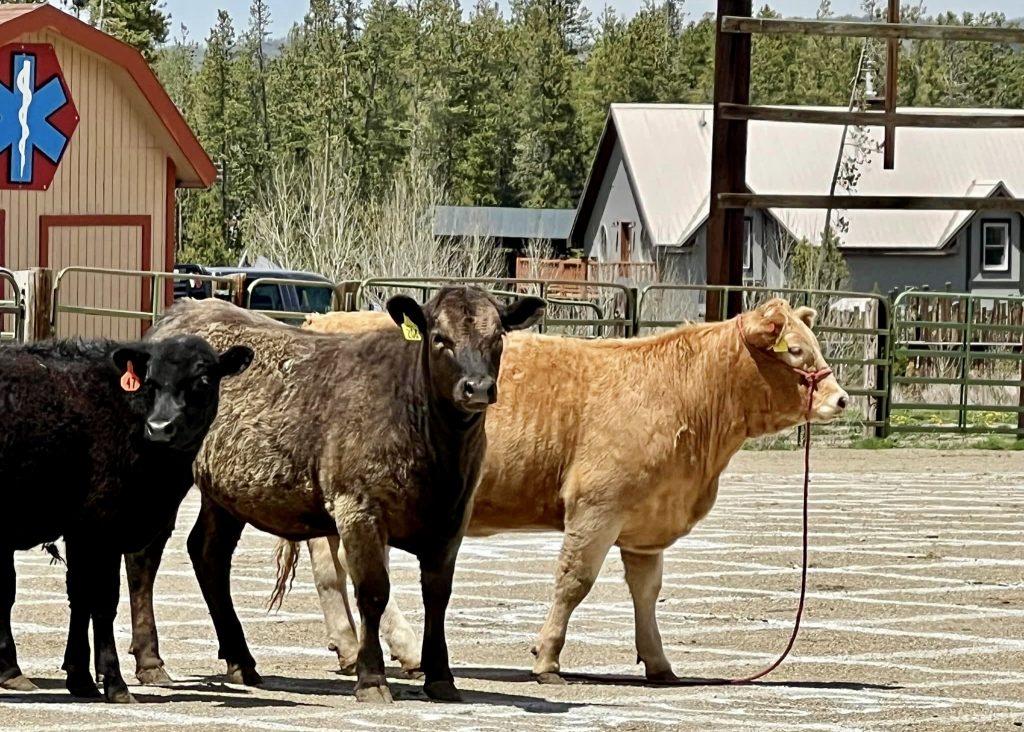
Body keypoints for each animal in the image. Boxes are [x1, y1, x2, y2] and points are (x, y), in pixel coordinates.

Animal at [0, 335, 252, 704]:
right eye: (150, 382)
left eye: (203, 381)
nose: (160, 428)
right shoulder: (103, 525)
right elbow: (103, 603)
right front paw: (114, 682)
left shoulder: (82, 530)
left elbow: (80, 597)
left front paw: (81, 678)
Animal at [124, 287, 545, 704]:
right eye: (440, 337)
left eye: (498, 336)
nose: (478, 387)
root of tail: (180, 312)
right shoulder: (359, 509)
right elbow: (373, 593)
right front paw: (372, 679)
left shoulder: (453, 518)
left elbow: (437, 596)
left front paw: (441, 678)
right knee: (145, 554)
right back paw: (151, 661)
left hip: (224, 493)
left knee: (208, 554)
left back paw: (241, 661)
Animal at [267, 297, 849, 684]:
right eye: (795, 351)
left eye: (812, 345)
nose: (841, 399)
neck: (682, 391)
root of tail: (325, 320)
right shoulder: (596, 508)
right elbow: (574, 583)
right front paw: (547, 659)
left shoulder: (643, 523)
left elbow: (646, 592)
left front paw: (659, 663)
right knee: (357, 572)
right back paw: (406, 651)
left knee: (333, 572)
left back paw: (353, 649)